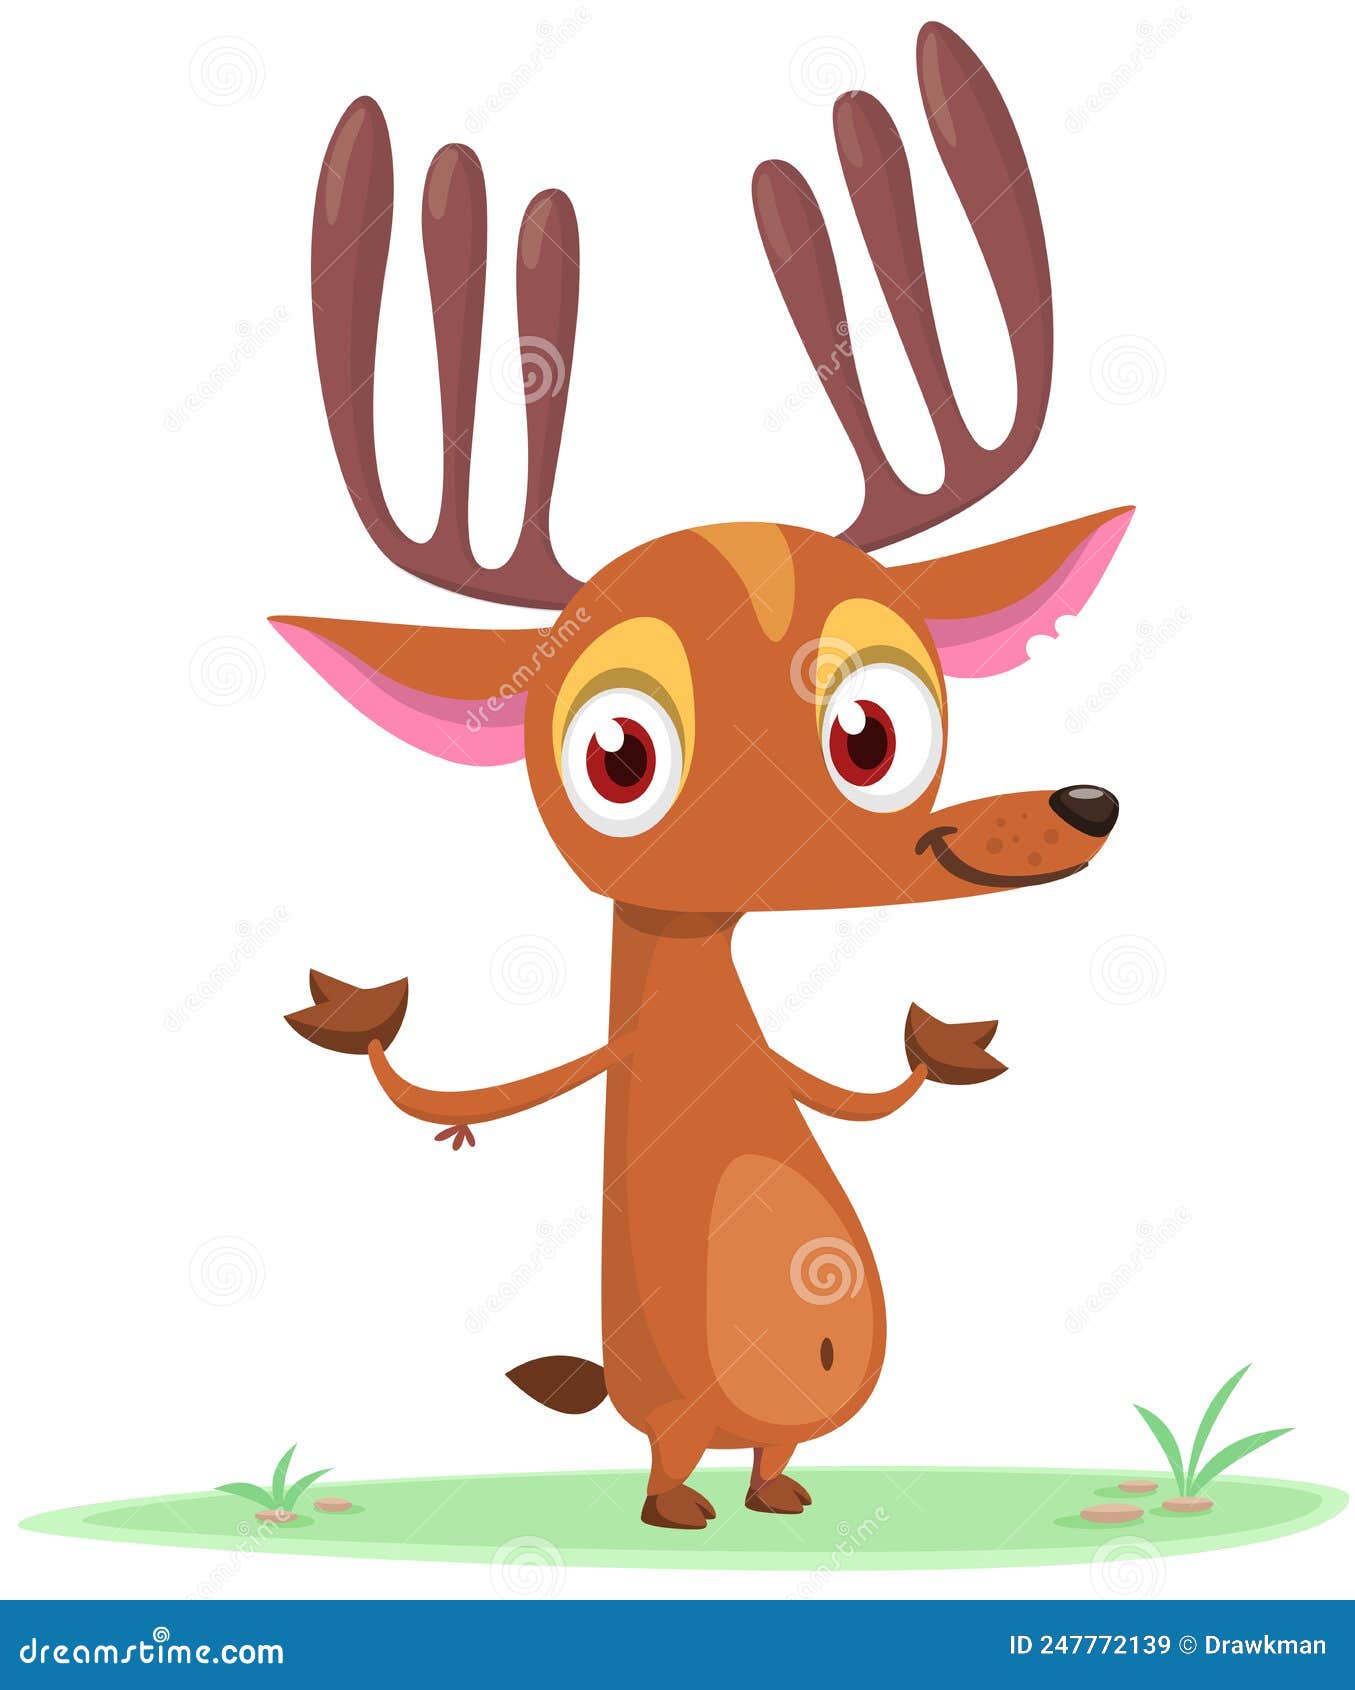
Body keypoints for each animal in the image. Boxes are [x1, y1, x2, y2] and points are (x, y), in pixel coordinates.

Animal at [275, 22, 1132, 1530]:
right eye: (619, 757)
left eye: (871, 730)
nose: (1074, 809)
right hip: (667, 1404)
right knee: (681, 1448)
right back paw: (689, 1506)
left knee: (773, 1451)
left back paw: (777, 1496)